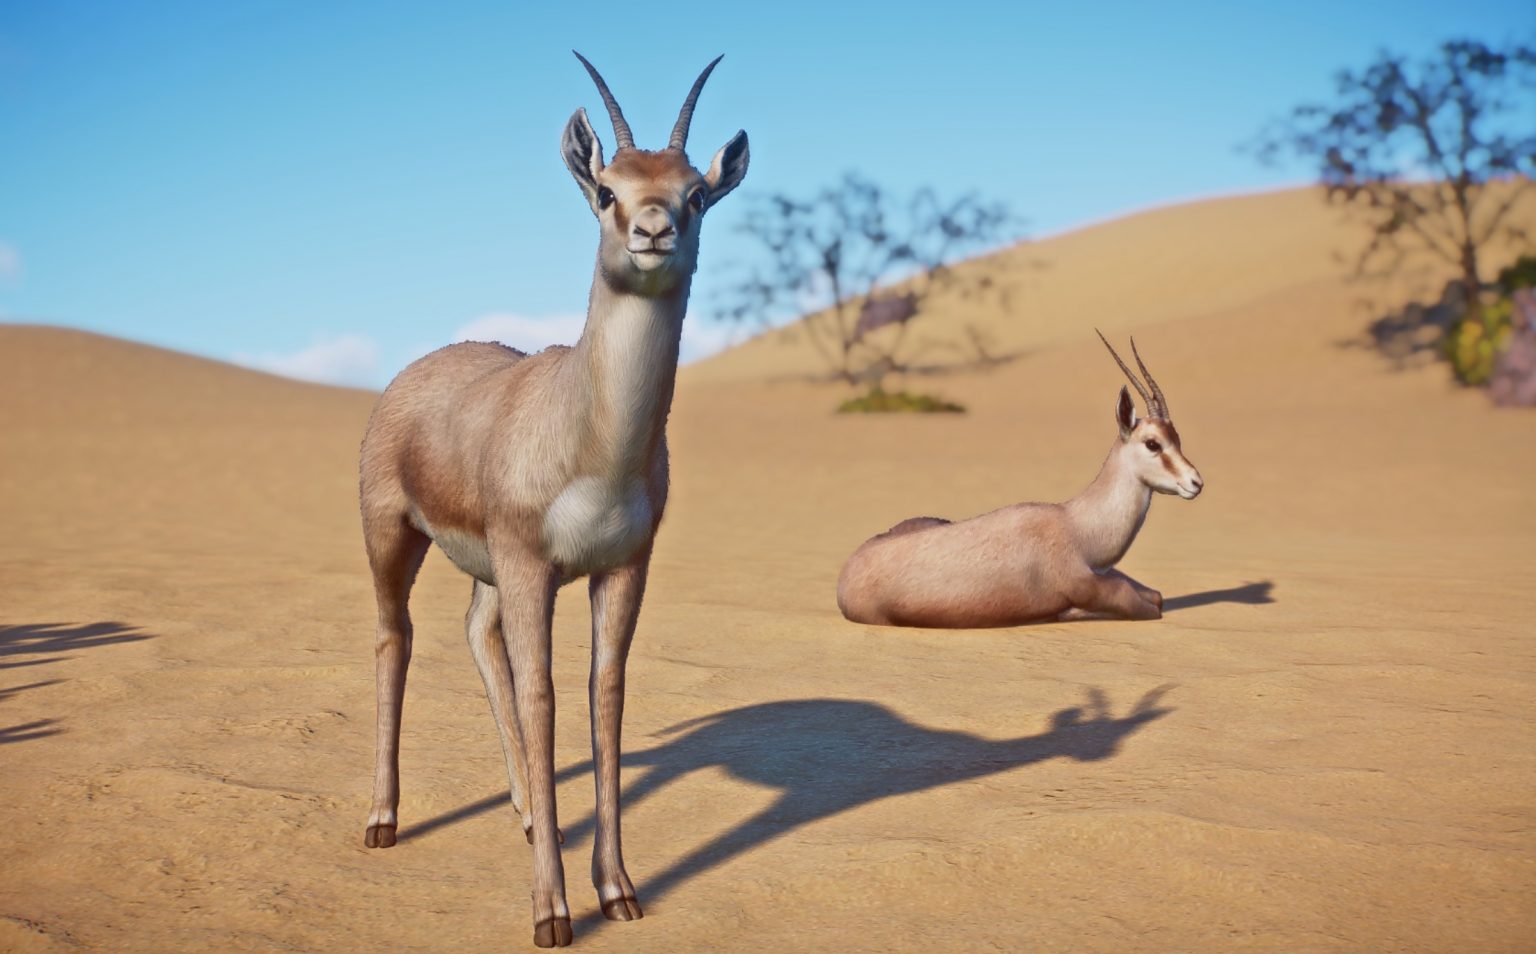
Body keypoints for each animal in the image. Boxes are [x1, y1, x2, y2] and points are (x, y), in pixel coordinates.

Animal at [357, 53, 748, 948]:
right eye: (606, 189)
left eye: (695, 194)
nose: (652, 231)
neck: (592, 444)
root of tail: (420, 365)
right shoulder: (532, 565)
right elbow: (545, 696)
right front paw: (551, 910)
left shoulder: (623, 566)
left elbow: (606, 695)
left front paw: (619, 891)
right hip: (394, 536)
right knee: (396, 639)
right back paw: (384, 820)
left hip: (490, 570)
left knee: (477, 631)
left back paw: (534, 814)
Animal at [836, 332, 1203, 628]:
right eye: (1153, 443)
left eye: (1177, 438)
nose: (1196, 482)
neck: (1076, 526)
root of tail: (846, 575)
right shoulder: (1091, 587)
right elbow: (1147, 605)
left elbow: (1156, 595)